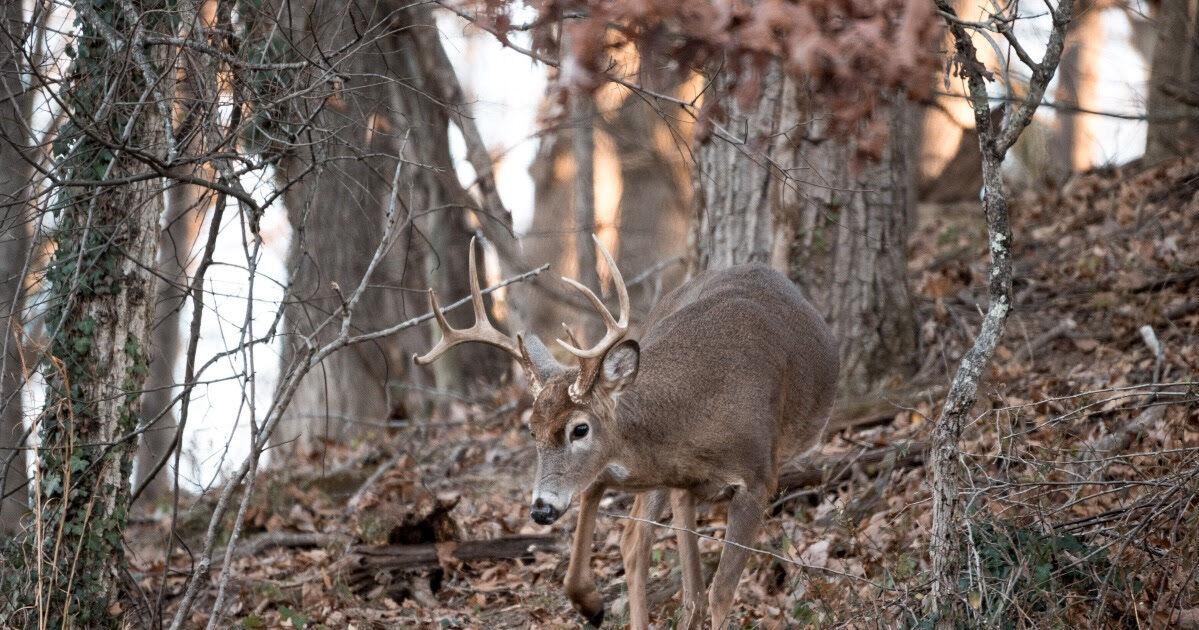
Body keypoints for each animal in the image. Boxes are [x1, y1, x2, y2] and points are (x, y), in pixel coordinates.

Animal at [413, 235, 838, 629]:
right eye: (531, 431)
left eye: (579, 429)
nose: (541, 508)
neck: (700, 415)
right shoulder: (681, 479)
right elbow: (696, 590)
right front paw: (593, 602)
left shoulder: (757, 479)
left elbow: (717, 593)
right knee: (630, 534)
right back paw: (589, 599)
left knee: (644, 543)